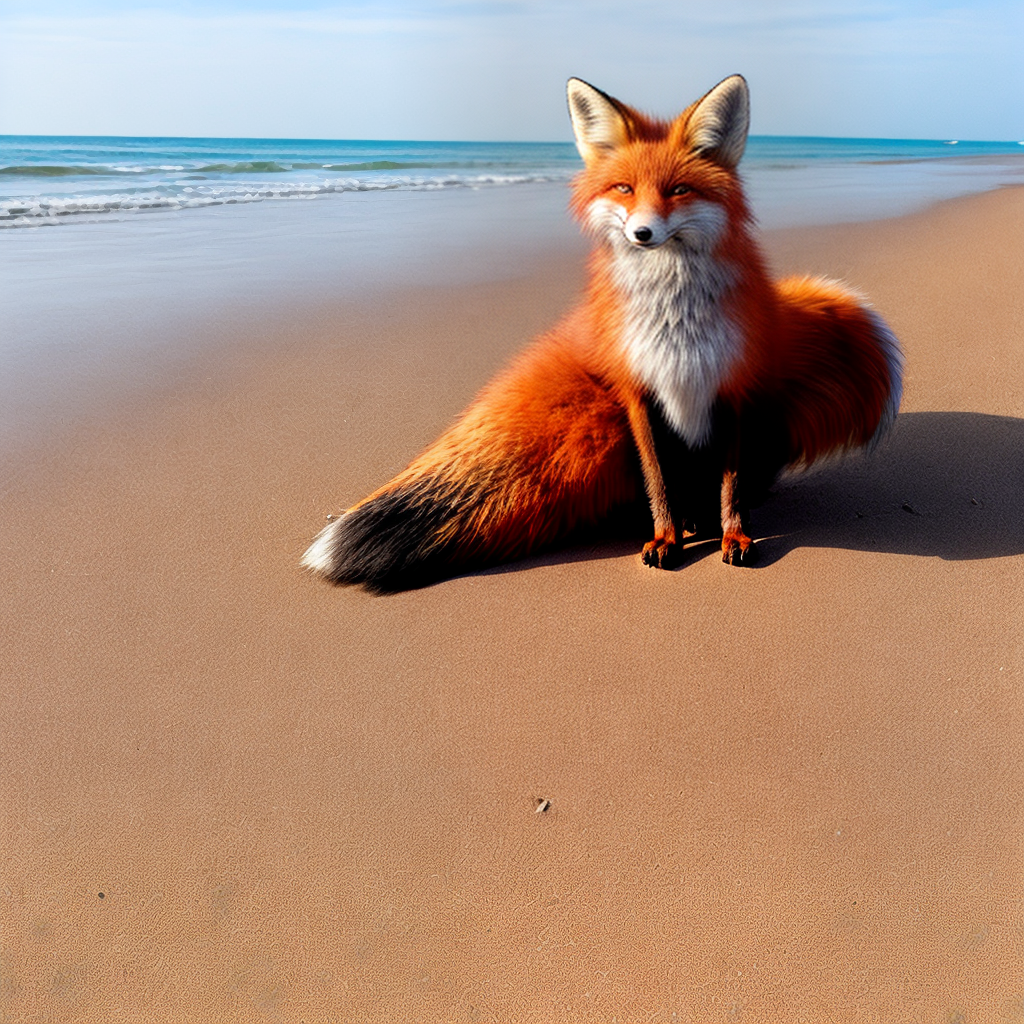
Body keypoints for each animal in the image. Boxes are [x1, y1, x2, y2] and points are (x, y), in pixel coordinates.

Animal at [302, 75, 902, 593]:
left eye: (678, 191)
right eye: (624, 188)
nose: (642, 233)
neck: (674, 321)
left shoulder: (733, 387)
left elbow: (730, 485)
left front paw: (733, 533)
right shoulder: (636, 392)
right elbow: (658, 481)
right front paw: (665, 537)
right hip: (600, 419)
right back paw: (683, 523)